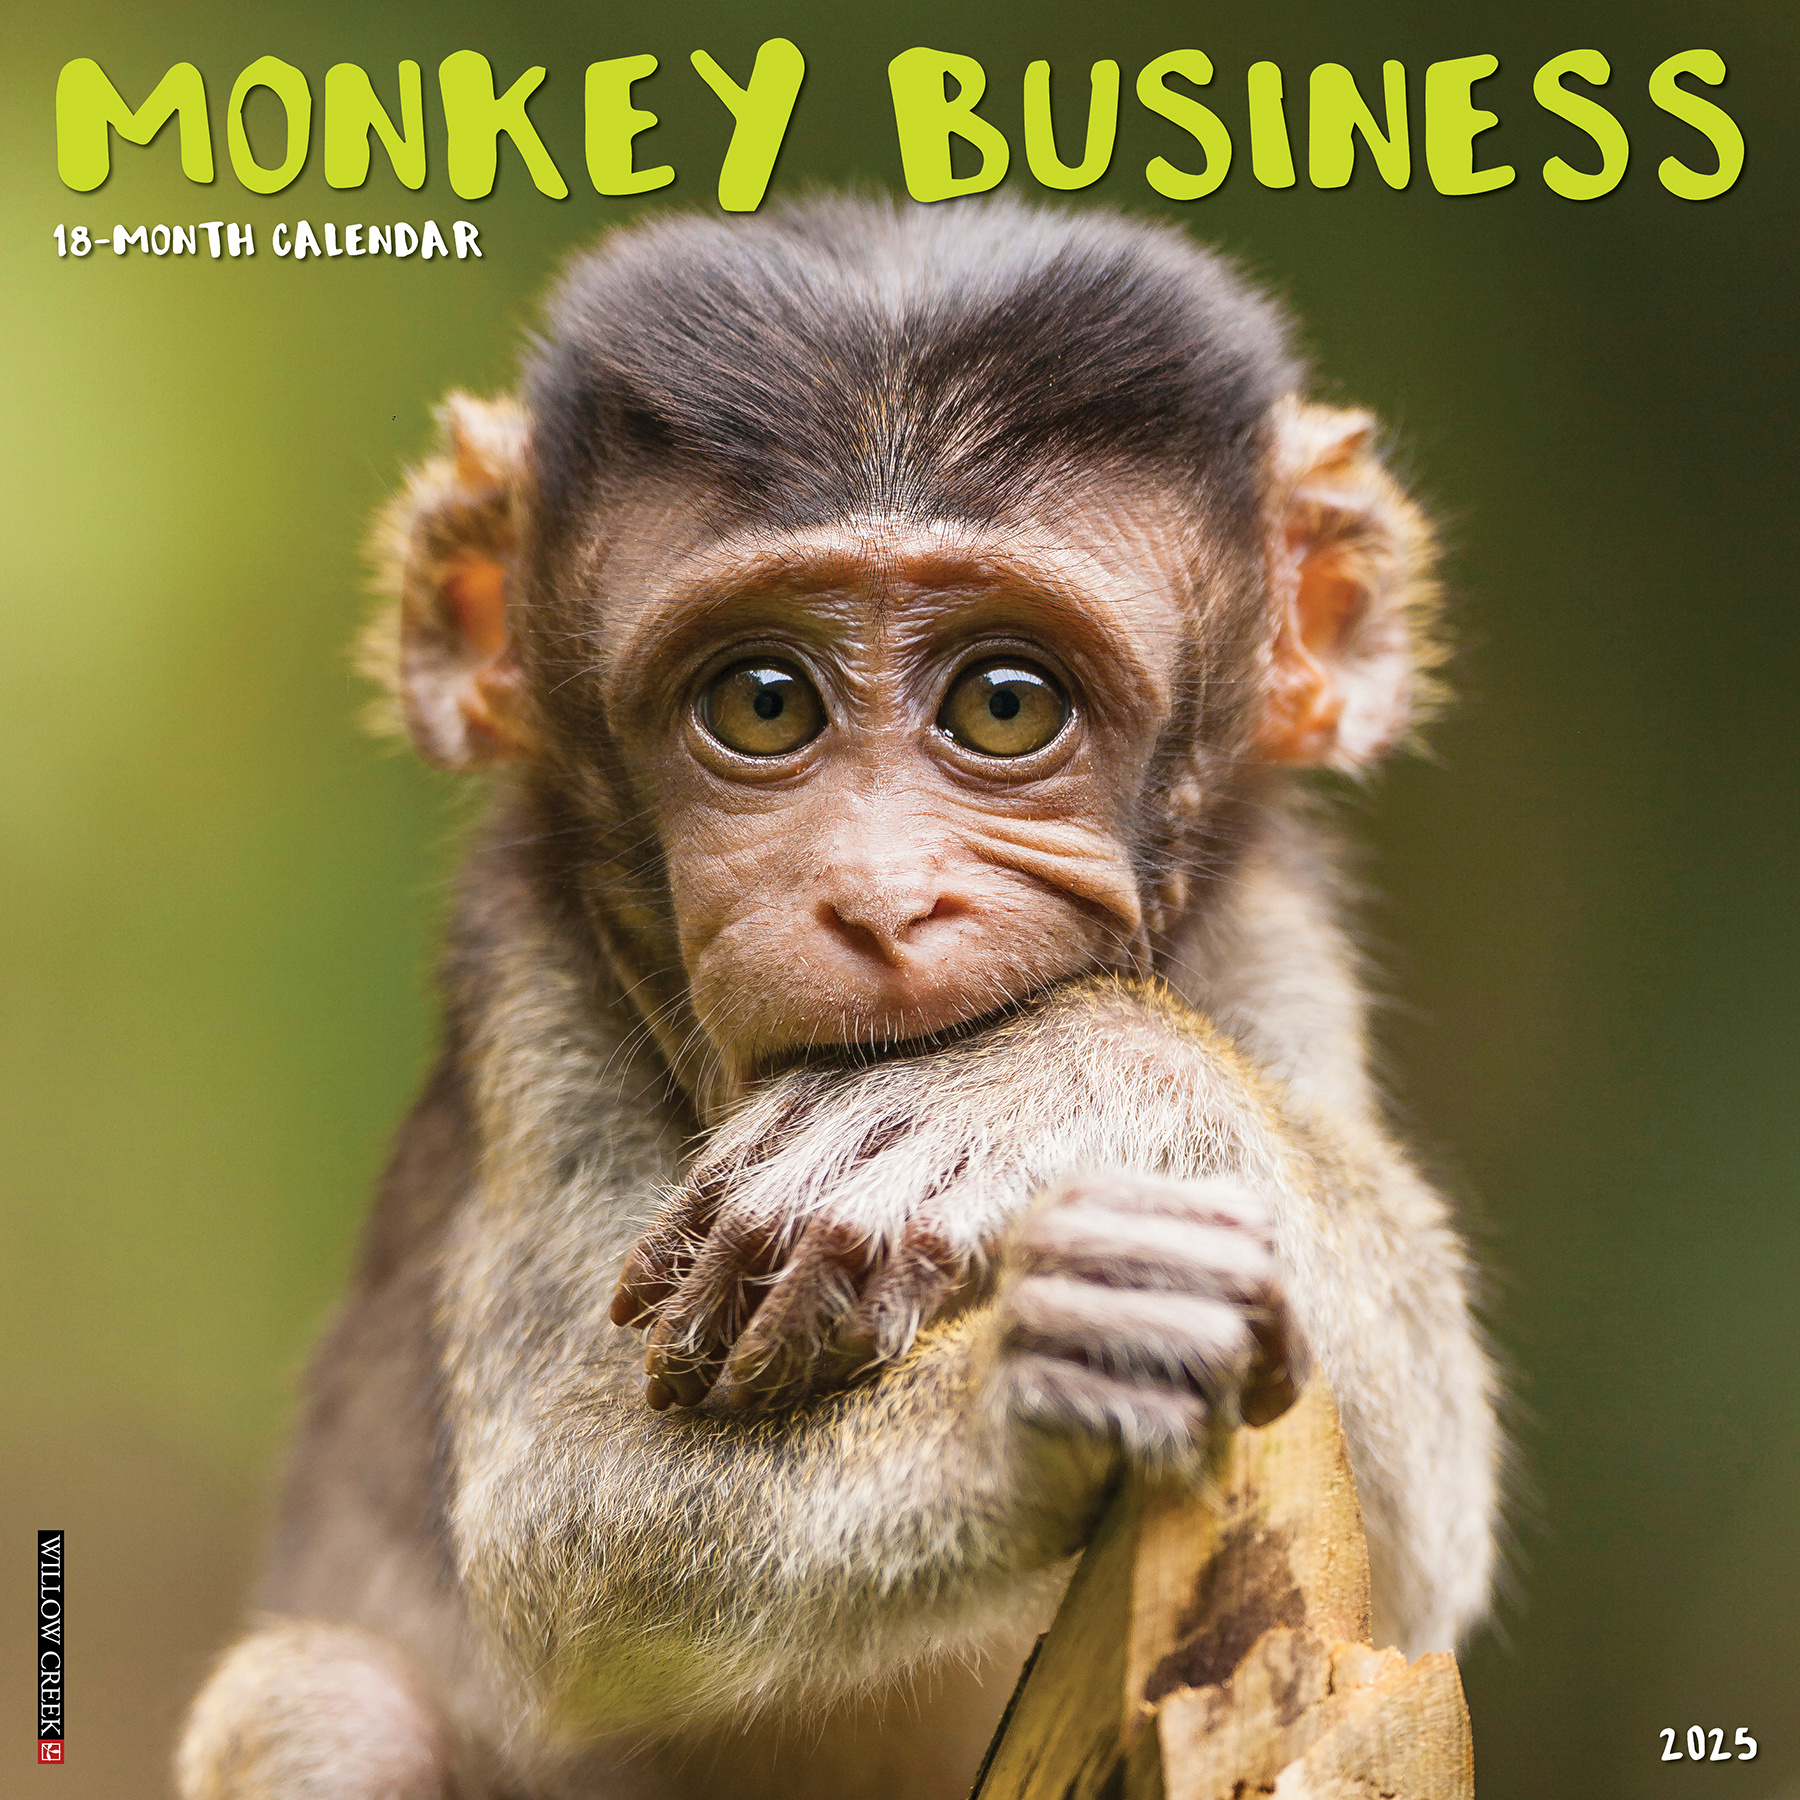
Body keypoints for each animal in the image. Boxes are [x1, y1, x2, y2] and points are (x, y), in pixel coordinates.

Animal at [176, 195, 1499, 1800]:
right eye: (763, 703)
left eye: (1006, 702)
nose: (877, 895)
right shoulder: (527, 969)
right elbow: (560, 1527)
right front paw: (1032, 1392)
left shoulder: (1280, 915)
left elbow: (1412, 1544)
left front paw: (1019, 1090)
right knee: (323, 1698)